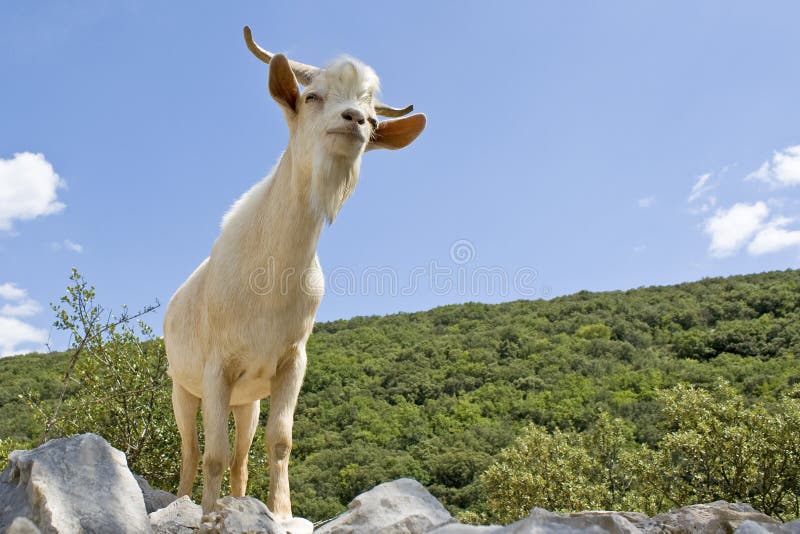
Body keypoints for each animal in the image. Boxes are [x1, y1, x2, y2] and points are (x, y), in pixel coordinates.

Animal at [163, 26, 426, 521]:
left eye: (374, 120)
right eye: (312, 96)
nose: (355, 120)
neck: (270, 279)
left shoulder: (290, 361)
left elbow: (280, 441)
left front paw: (280, 513)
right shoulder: (215, 367)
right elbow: (212, 454)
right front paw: (207, 516)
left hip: (247, 399)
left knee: (242, 454)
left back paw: (238, 501)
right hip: (182, 388)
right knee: (191, 450)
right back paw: (184, 502)